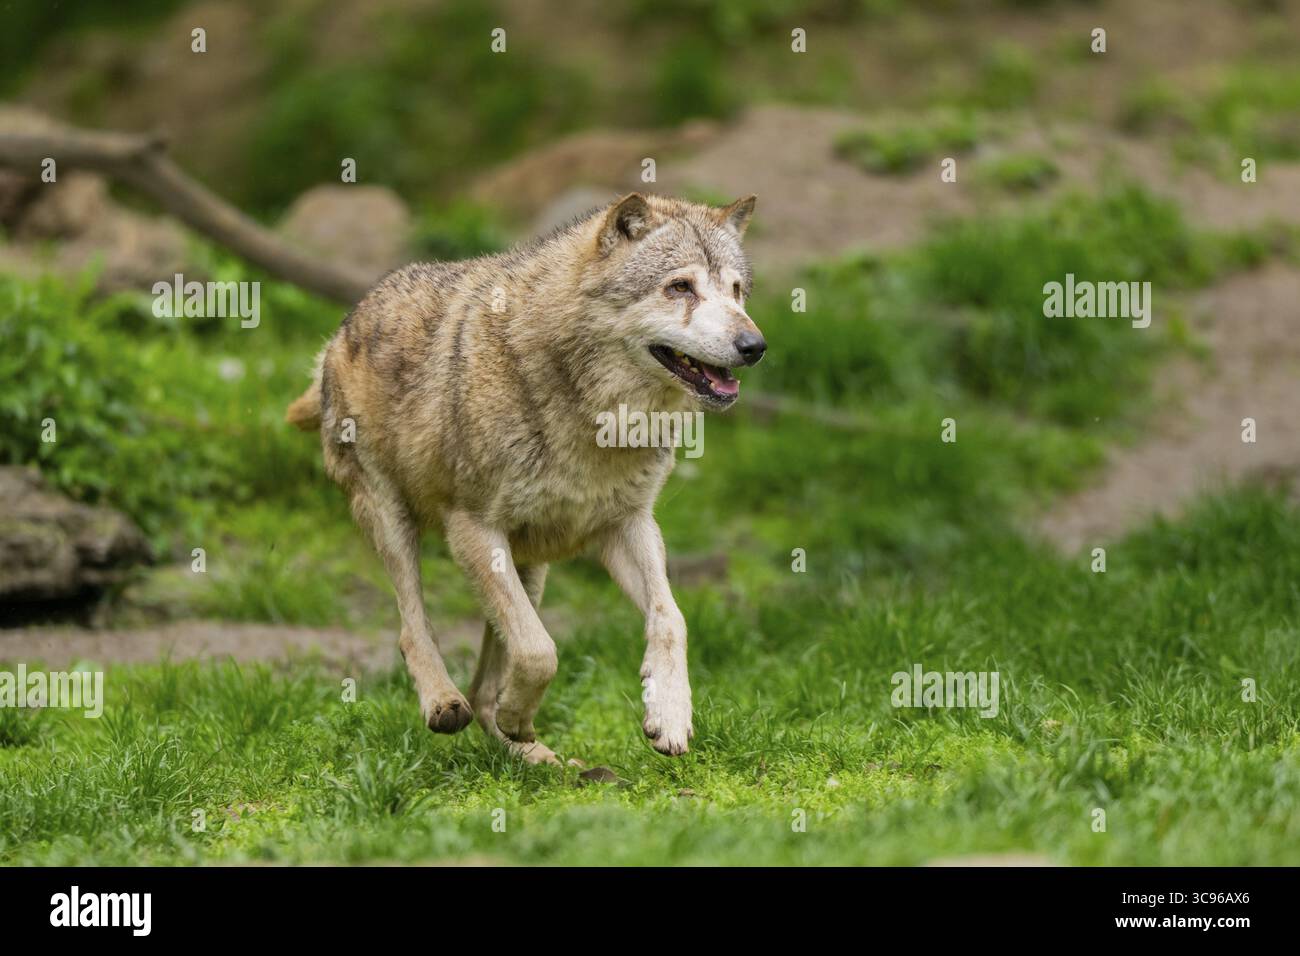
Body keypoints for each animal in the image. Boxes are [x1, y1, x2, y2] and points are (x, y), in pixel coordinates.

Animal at [286, 193, 765, 762]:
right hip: (395, 523)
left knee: (485, 682)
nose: (754, 344)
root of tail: (338, 334)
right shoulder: (473, 530)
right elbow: (540, 651)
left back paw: (531, 753)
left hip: (531, 564)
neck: (596, 419)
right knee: (415, 629)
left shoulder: (630, 526)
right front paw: (518, 712)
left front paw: (668, 715)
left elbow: (672, 619)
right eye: (680, 287)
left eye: (736, 291)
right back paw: (446, 704)